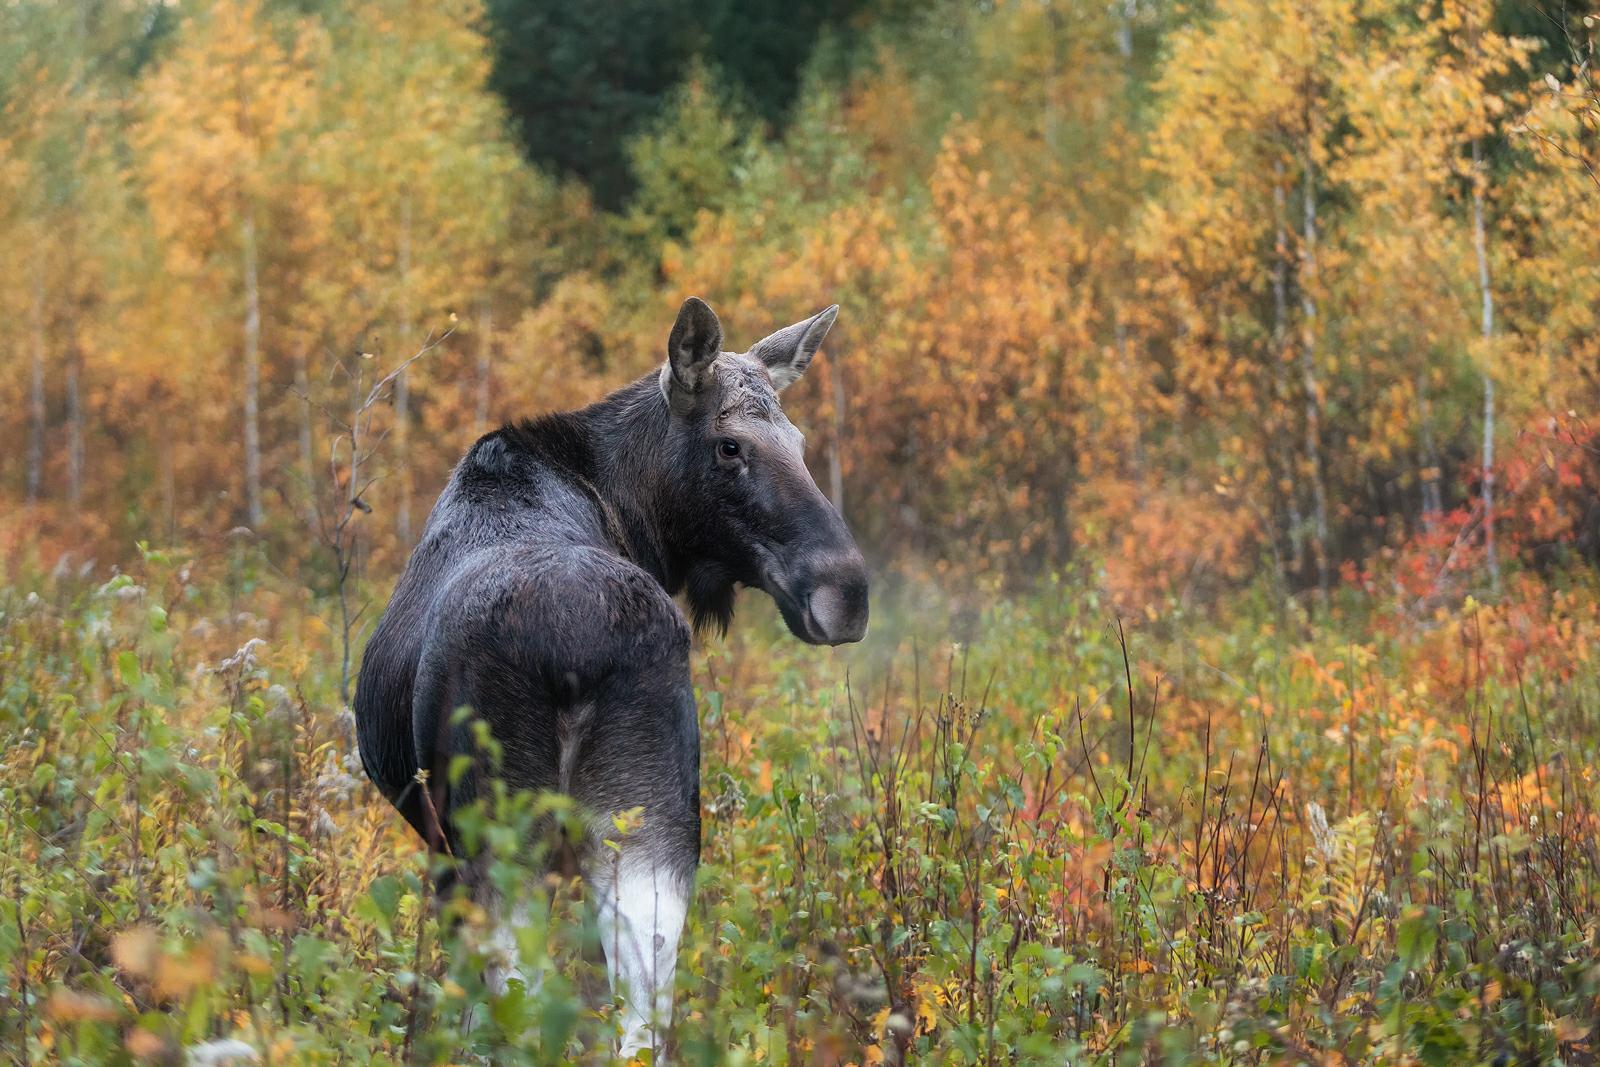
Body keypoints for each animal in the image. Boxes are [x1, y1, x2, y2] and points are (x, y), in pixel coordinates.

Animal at [355, 295, 870, 1055]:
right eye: (730, 446)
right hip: (650, 822)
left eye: (800, 443)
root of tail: (576, 653)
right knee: (640, 1009)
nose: (846, 593)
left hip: (505, 829)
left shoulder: (442, 843)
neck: (631, 515)